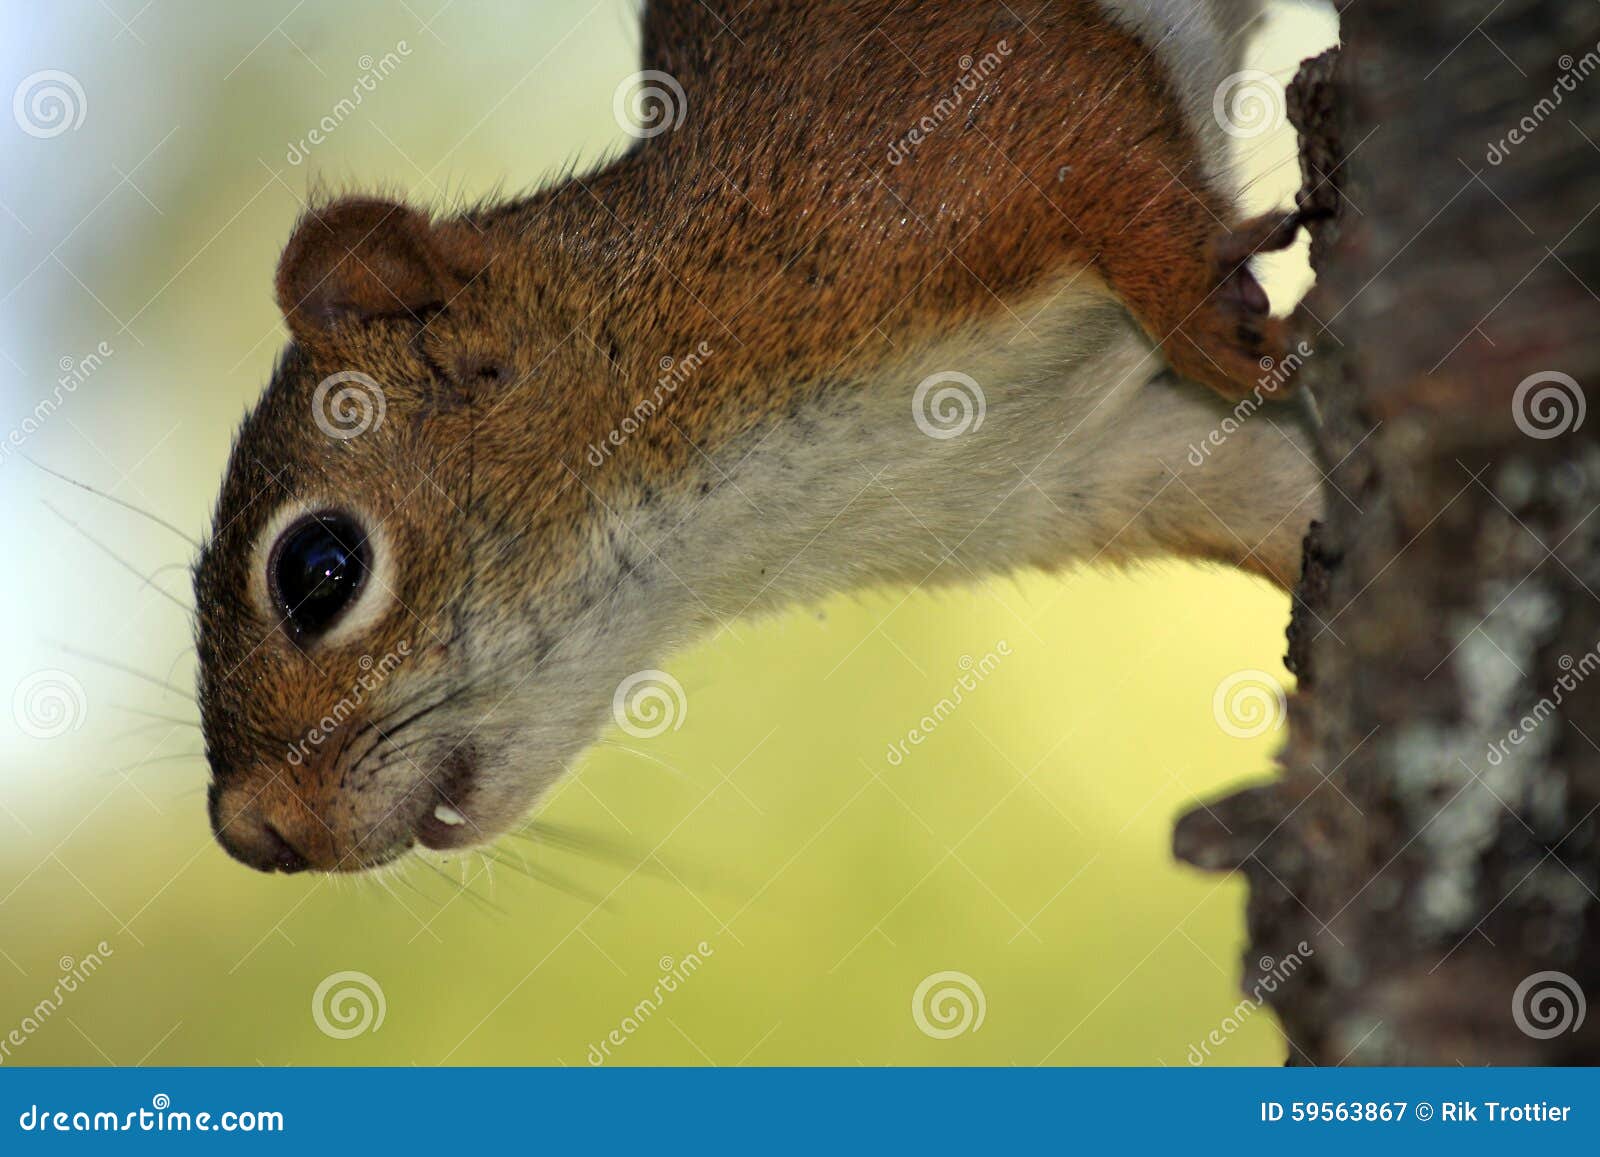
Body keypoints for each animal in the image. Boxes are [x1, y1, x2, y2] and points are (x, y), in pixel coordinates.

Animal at [194, 0, 1325, 873]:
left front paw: (1220, 327)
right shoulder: (1087, 464)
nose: (253, 836)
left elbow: (1111, 156)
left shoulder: (951, 128)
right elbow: (1274, 487)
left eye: (319, 568)